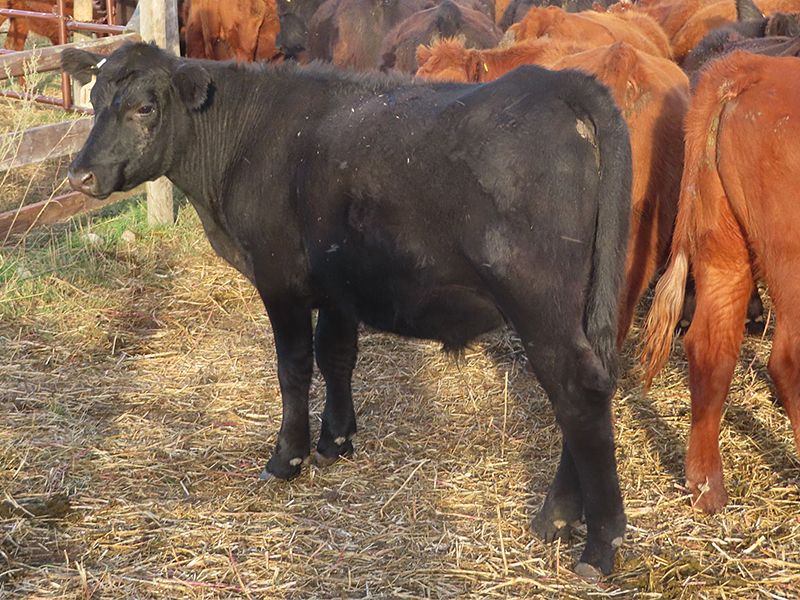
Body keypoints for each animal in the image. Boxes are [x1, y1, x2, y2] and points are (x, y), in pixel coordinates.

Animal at [62, 41, 633, 577]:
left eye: (144, 107)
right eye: (93, 100)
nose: (79, 176)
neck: (246, 143)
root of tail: (557, 83)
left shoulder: (280, 280)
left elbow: (293, 367)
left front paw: (287, 456)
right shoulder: (340, 286)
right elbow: (336, 356)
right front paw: (335, 439)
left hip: (539, 302)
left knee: (577, 394)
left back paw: (597, 541)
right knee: (590, 388)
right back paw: (558, 518)